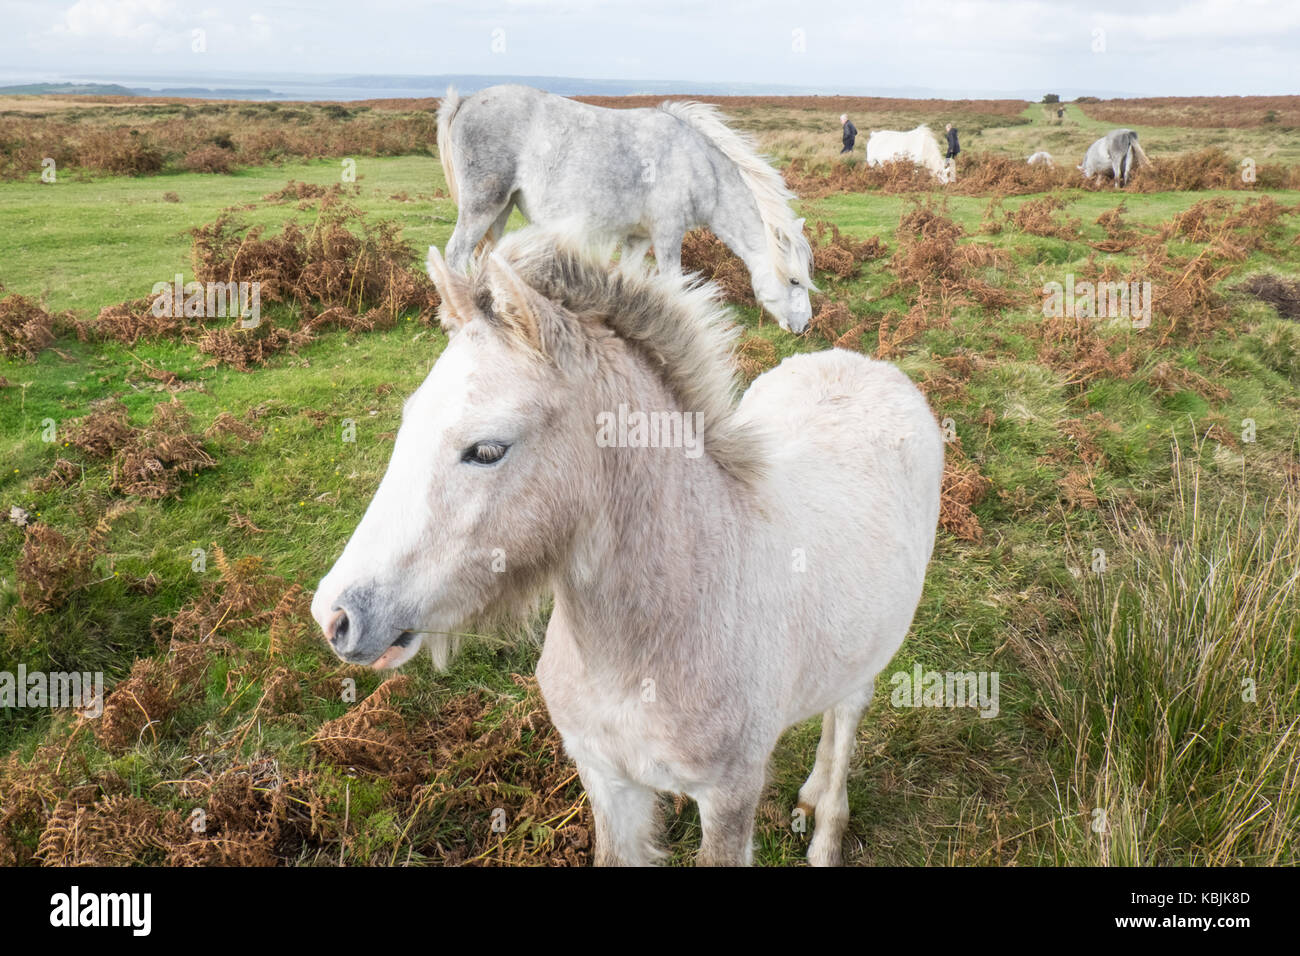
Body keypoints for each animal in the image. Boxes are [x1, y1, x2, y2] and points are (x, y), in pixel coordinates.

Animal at [310, 228, 944, 866]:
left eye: (487, 450)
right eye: (409, 418)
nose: (335, 616)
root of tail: (862, 364)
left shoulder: (731, 797)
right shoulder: (607, 779)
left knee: (847, 714)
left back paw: (825, 829)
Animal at [436, 85, 816, 333]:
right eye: (794, 280)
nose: (803, 327)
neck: (699, 163)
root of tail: (465, 102)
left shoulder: (638, 239)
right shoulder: (667, 235)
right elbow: (672, 284)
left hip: (499, 212)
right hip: (482, 208)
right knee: (455, 256)